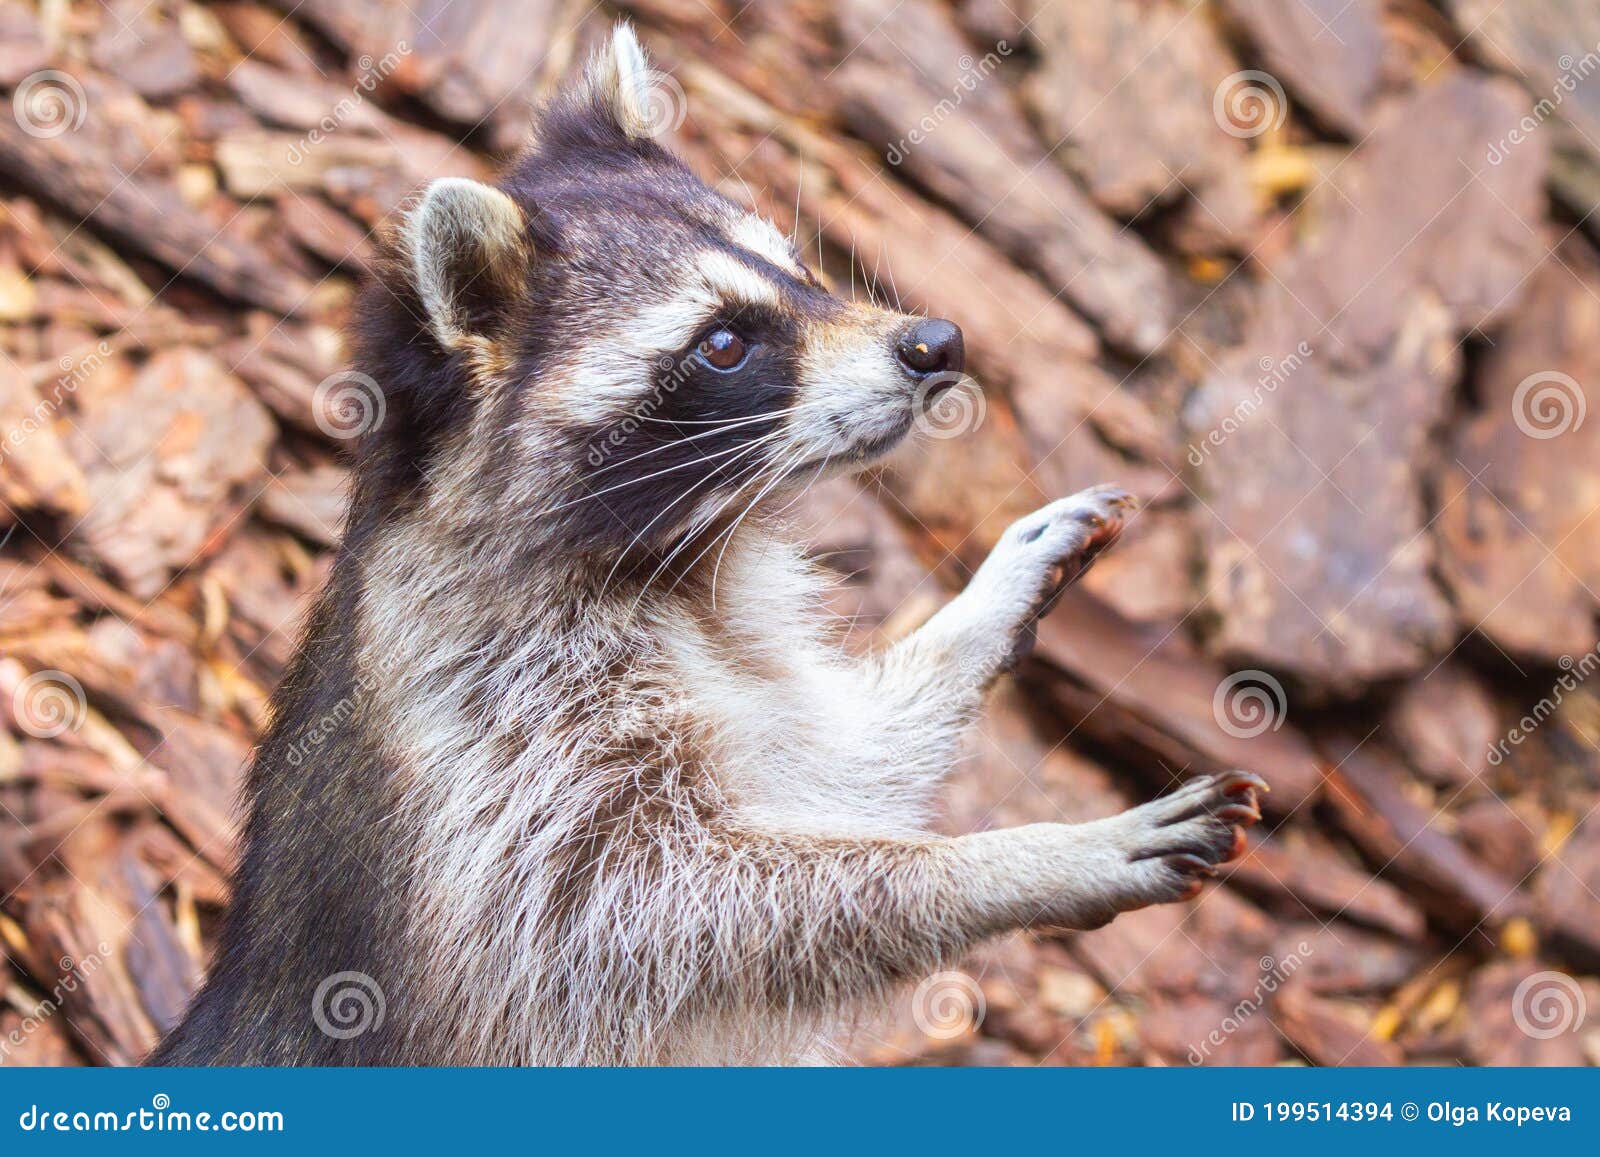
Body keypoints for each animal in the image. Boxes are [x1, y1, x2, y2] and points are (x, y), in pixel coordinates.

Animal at [150, 24, 1264, 1066]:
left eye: (799, 267)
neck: (682, 555)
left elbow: (846, 760)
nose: (937, 343)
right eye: (724, 342)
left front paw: (983, 608)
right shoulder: (498, 757)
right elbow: (671, 910)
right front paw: (1012, 863)